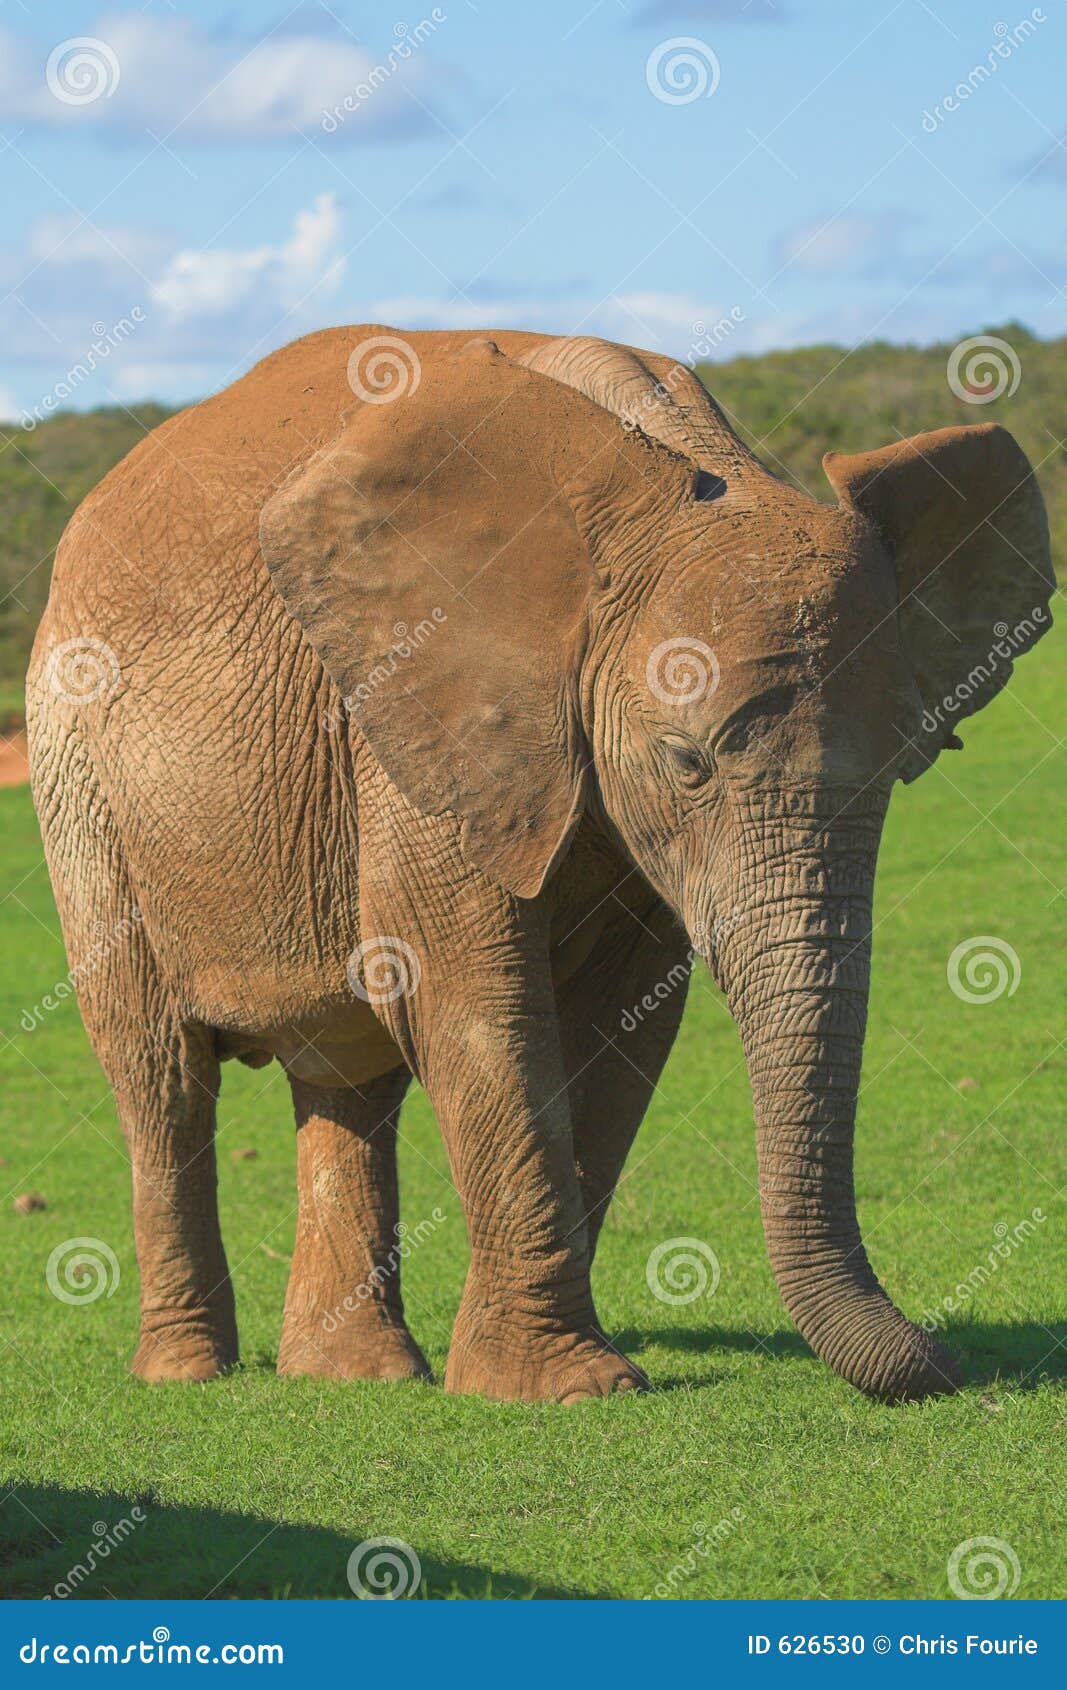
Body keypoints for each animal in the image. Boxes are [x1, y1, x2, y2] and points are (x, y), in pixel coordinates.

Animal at [27, 327, 1054, 1404]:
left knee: (348, 1077)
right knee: (159, 1071)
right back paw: (186, 1375)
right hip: (77, 774)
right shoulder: (422, 710)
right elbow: (467, 994)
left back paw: (355, 1378)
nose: (945, 1363)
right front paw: (569, 1387)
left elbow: (619, 1019)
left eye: (904, 766)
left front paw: (534, 1373)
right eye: (684, 764)